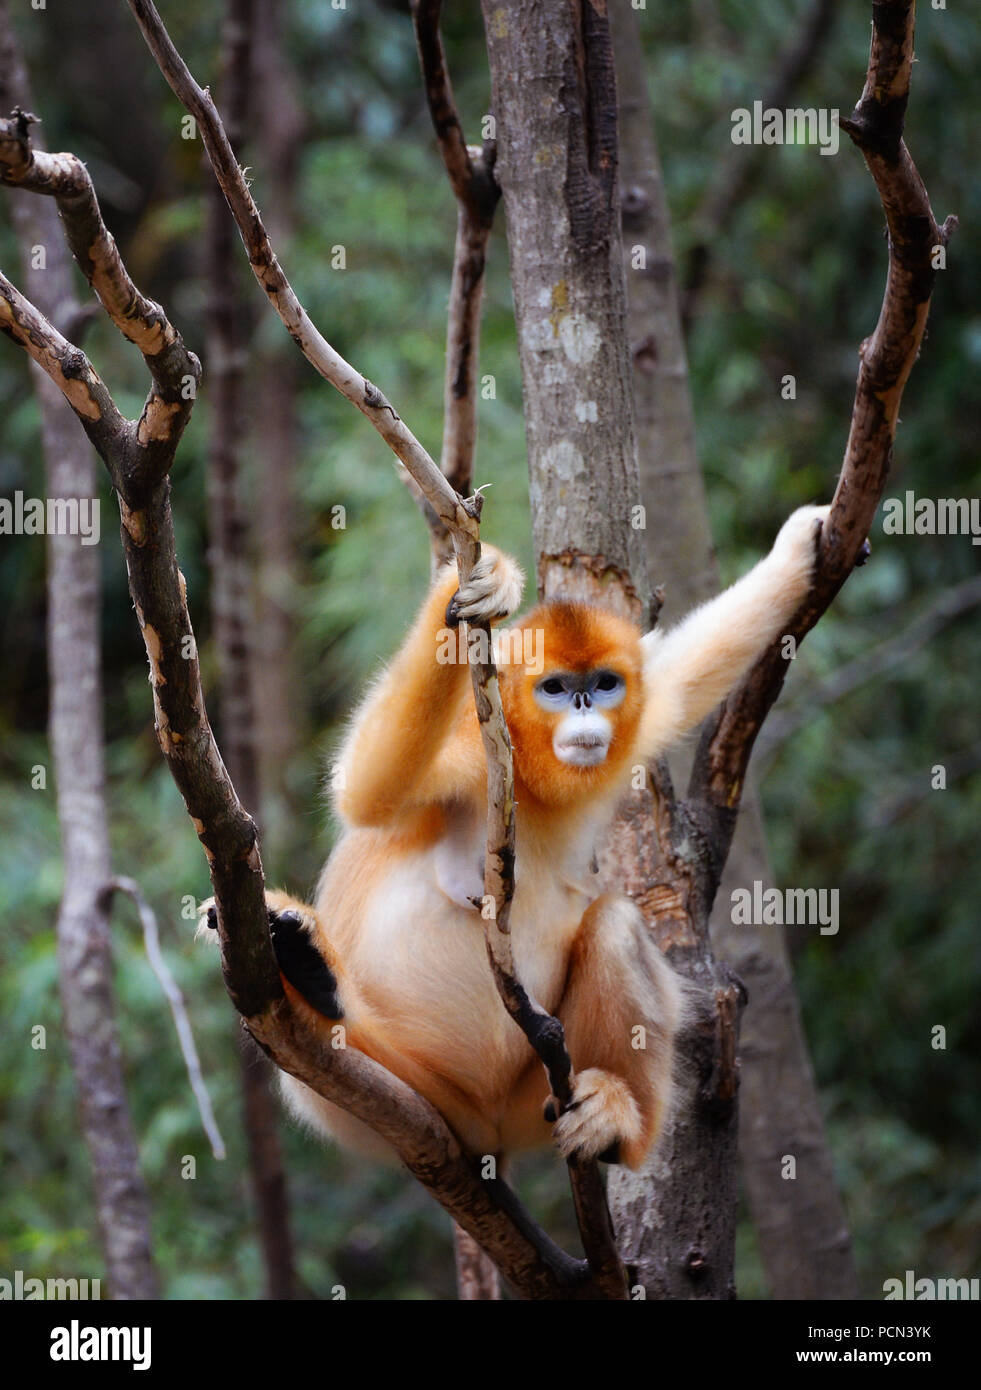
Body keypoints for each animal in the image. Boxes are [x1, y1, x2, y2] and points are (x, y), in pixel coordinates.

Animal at [203, 504, 830, 1170]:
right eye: (554, 688)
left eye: (604, 683)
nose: (583, 706)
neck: (528, 775)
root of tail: (490, 1132)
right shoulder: (466, 755)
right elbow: (367, 790)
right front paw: (469, 590)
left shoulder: (639, 714)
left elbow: (684, 674)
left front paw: (796, 548)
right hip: (390, 1100)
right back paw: (310, 972)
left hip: (540, 1096)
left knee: (614, 926)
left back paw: (618, 1129)